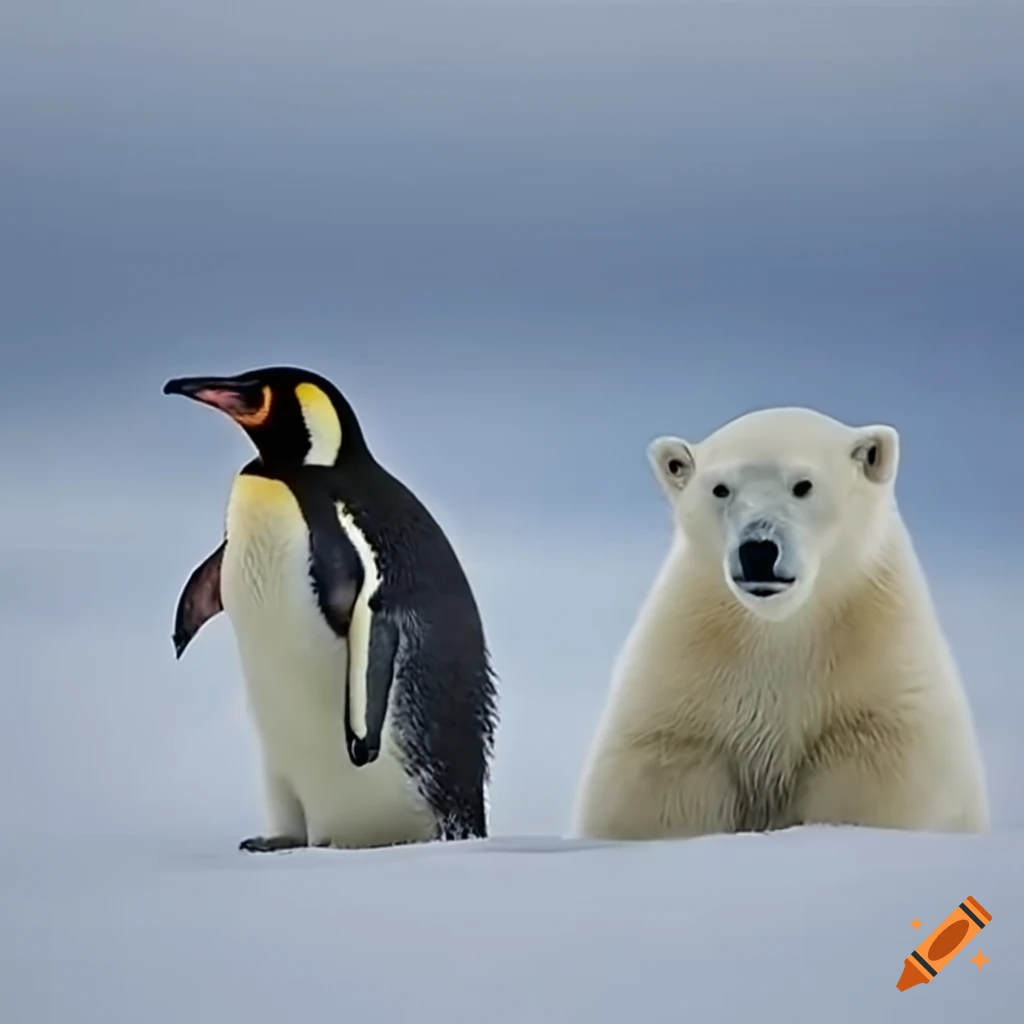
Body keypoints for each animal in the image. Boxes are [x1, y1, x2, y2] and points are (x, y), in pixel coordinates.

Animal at [572, 406, 990, 840]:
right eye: (720, 488)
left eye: (803, 485)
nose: (757, 550)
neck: (779, 629)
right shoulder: (685, 686)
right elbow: (655, 789)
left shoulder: (878, 688)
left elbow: (870, 792)